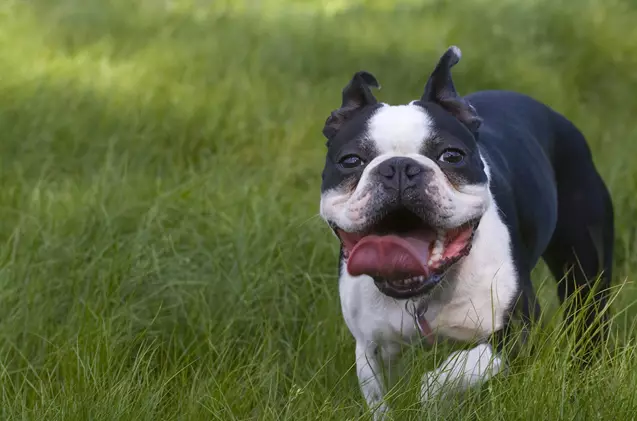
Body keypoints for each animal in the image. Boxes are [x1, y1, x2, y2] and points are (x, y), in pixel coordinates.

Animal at [316, 46, 612, 416]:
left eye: (452, 156)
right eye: (351, 161)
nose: (398, 167)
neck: (424, 293)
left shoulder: (516, 330)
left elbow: (446, 377)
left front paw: (433, 400)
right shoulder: (373, 348)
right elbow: (385, 404)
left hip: (585, 270)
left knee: (588, 318)